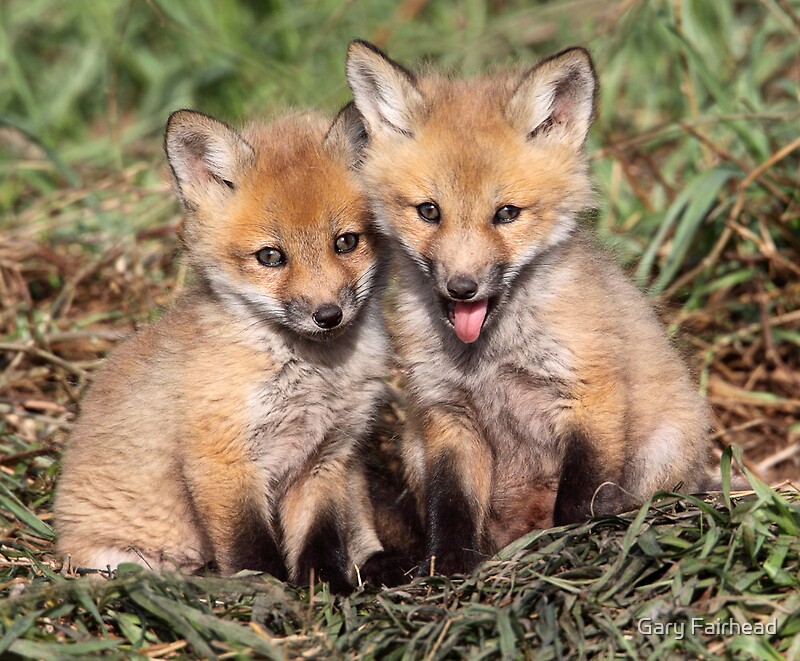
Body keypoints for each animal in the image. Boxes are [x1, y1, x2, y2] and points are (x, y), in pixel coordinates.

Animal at [54, 107, 393, 593]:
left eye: (345, 242)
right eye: (270, 256)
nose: (328, 315)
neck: (314, 376)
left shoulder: (327, 459)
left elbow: (321, 541)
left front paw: (327, 590)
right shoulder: (221, 459)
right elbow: (250, 547)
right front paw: (266, 592)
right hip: (121, 561)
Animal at [343, 40, 712, 575]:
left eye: (507, 214)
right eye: (429, 211)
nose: (462, 288)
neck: (493, 356)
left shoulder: (589, 393)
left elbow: (582, 497)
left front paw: (574, 545)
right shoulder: (447, 413)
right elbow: (451, 507)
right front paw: (447, 568)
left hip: (665, 447)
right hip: (414, 448)